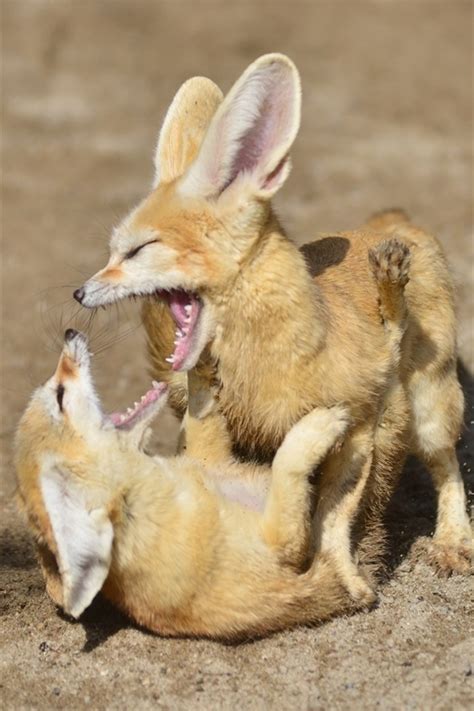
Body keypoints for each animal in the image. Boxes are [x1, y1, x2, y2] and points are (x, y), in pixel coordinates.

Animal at [15, 329, 359, 639]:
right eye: (60, 396)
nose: (69, 332)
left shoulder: (210, 456)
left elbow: (199, 409)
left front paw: (194, 350)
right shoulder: (285, 544)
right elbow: (286, 465)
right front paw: (321, 425)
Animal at [73, 54, 473, 599]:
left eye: (138, 250)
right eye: (113, 250)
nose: (79, 293)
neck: (269, 363)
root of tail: (396, 224)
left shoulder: (367, 427)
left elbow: (339, 516)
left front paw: (346, 576)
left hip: (432, 405)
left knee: (446, 465)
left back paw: (453, 543)